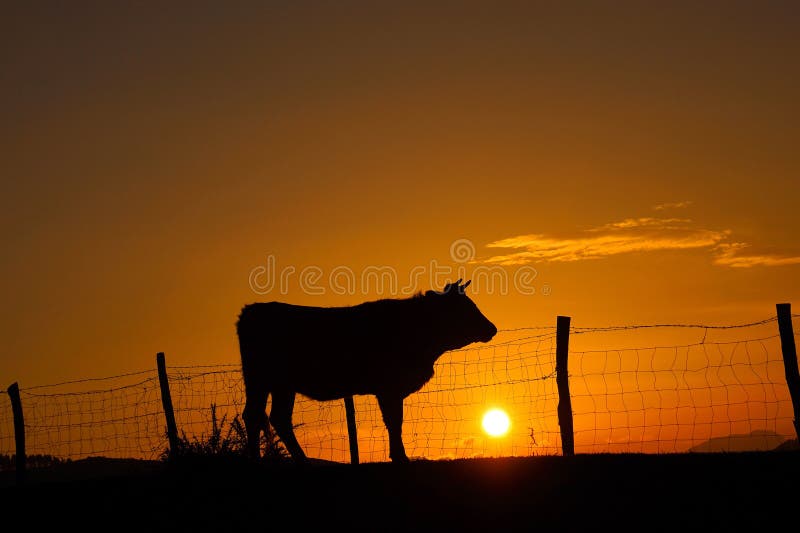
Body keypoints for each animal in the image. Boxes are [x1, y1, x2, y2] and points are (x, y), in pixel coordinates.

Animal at [236, 279, 497, 463]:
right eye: (466, 308)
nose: (492, 328)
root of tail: (251, 310)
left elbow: (395, 421)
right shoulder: (389, 388)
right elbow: (394, 421)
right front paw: (400, 457)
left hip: (277, 384)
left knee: (270, 416)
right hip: (263, 380)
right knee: (260, 415)